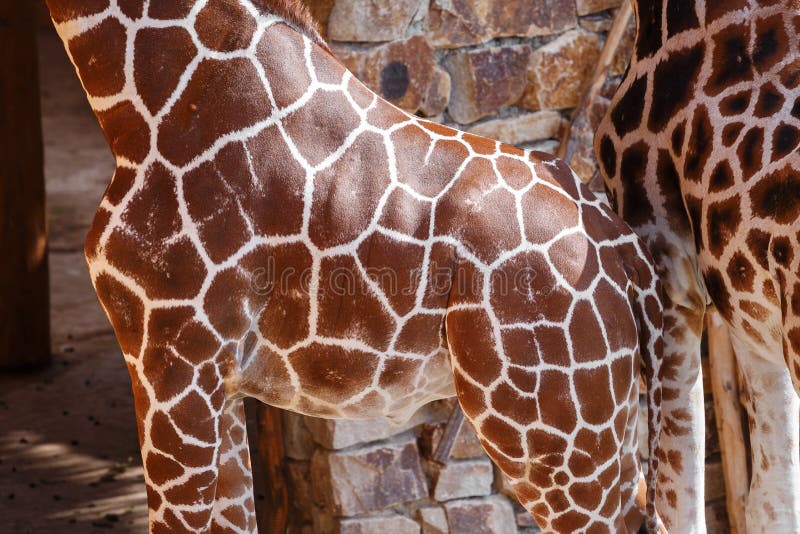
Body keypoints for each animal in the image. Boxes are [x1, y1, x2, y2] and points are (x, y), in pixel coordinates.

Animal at [45, 0, 666, 532]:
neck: (152, 99)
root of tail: (619, 241)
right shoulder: (218, 380)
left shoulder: (172, 357)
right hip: (593, 421)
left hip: (551, 430)